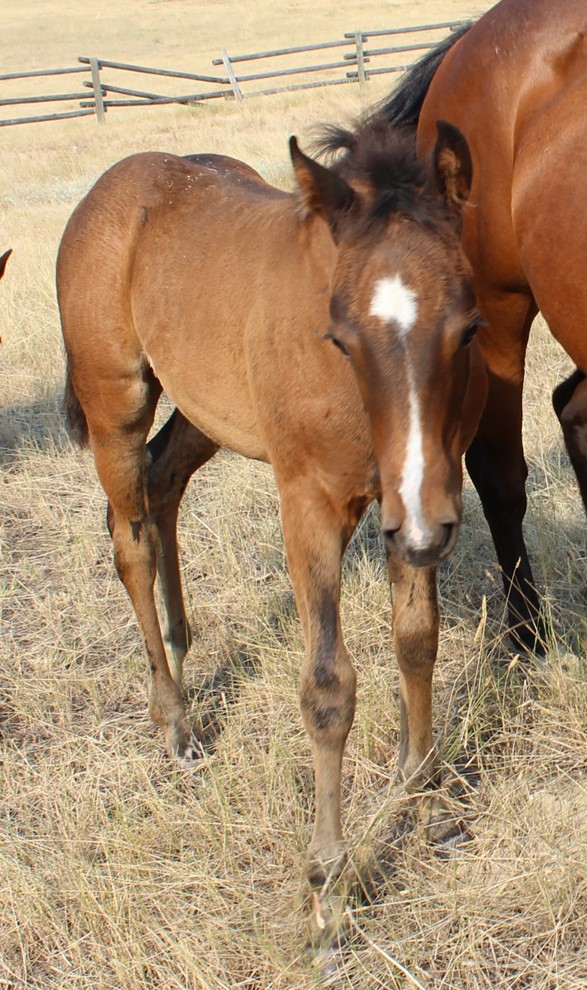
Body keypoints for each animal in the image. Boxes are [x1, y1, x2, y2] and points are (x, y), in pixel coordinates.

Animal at [57, 120, 486, 925]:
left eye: (470, 328)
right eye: (339, 336)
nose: (423, 526)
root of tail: (112, 183)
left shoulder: (414, 511)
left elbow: (416, 641)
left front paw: (423, 797)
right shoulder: (313, 506)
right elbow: (327, 687)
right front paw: (327, 884)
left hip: (205, 413)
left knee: (163, 485)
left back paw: (180, 647)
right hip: (113, 403)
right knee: (129, 537)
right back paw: (174, 722)